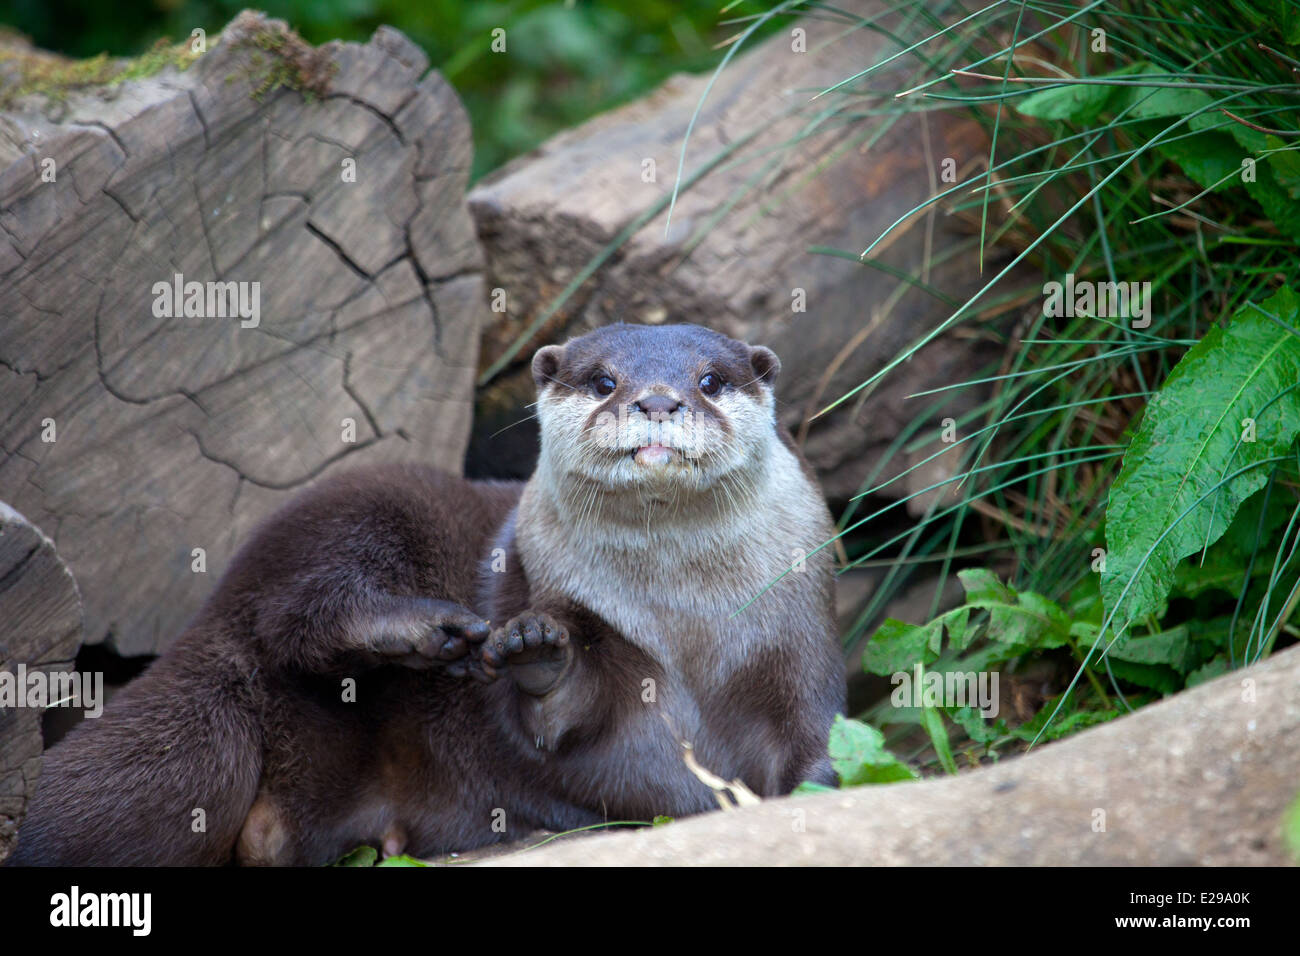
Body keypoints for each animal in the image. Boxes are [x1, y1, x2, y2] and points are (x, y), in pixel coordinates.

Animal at [9, 322, 845, 866]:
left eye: (711, 380)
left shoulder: (801, 634)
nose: (660, 401)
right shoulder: (581, 623)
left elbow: (815, 735)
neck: (687, 623)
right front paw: (538, 647)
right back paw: (416, 631)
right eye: (605, 379)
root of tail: (212, 621)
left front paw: (813, 796)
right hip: (361, 502)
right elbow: (565, 722)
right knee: (299, 608)